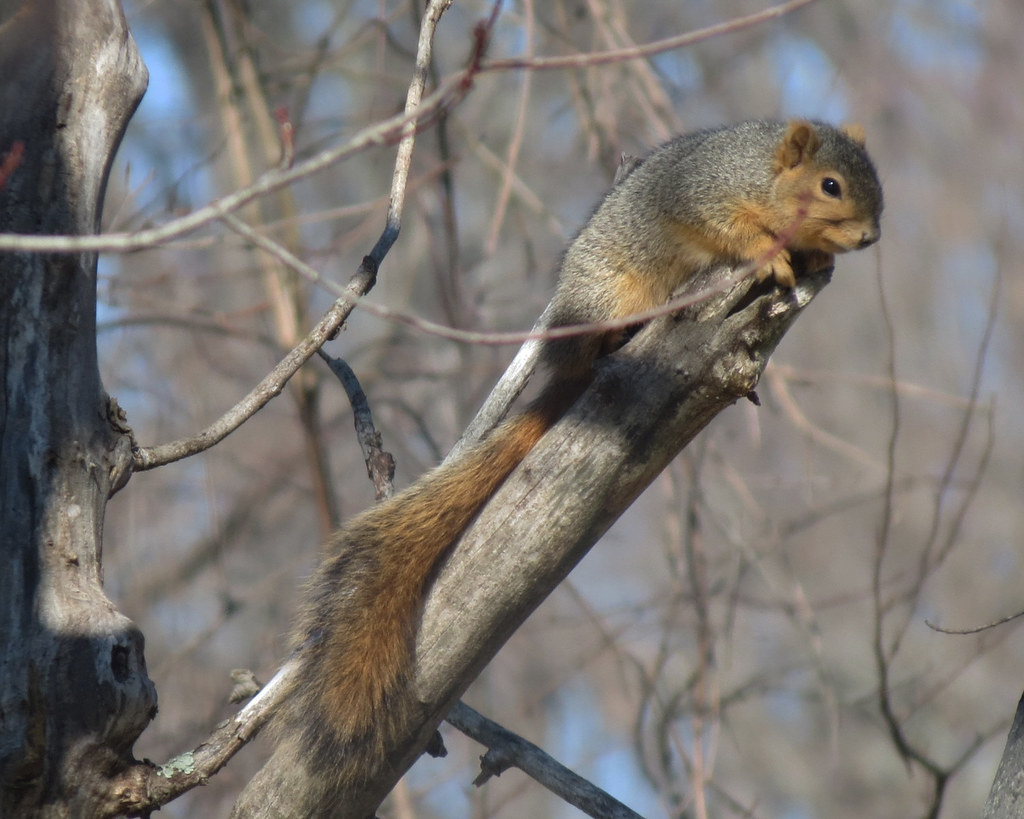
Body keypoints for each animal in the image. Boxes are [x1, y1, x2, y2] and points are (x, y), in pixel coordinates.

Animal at [271, 119, 883, 811]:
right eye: (830, 186)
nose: (870, 236)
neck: (760, 171)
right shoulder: (705, 197)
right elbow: (736, 233)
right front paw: (772, 255)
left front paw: (817, 261)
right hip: (609, 293)